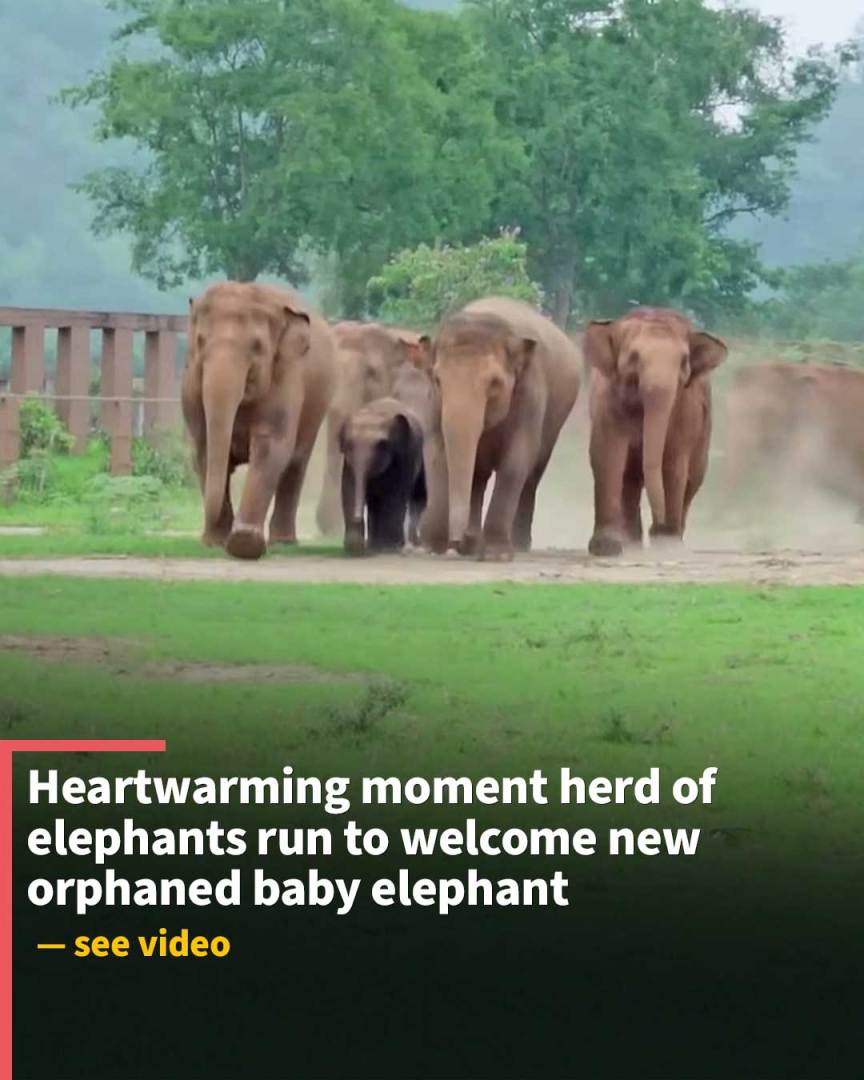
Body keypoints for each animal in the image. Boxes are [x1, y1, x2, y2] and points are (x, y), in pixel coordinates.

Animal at [181, 281, 336, 560]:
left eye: (257, 346)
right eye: (200, 341)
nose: (206, 536)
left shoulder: (286, 379)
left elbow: (270, 447)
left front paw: (243, 543)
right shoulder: (191, 389)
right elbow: (204, 448)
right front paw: (216, 542)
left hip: (317, 406)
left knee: (296, 465)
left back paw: (284, 542)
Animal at [340, 397, 424, 555]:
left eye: (381, 444)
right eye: (348, 444)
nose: (358, 517)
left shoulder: (404, 456)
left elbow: (394, 494)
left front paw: (389, 548)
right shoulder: (348, 463)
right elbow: (348, 488)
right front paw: (354, 548)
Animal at [420, 297, 582, 560]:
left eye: (494, 383)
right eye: (437, 380)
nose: (459, 542)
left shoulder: (530, 393)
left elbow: (517, 459)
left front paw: (497, 554)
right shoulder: (433, 403)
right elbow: (436, 453)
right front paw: (432, 548)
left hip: (556, 419)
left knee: (533, 474)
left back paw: (519, 544)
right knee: (480, 475)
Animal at [584, 307, 727, 557]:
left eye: (684, 361)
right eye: (634, 357)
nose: (658, 526)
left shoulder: (685, 406)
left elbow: (673, 462)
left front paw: (666, 544)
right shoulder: (608, 400)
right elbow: (607, 455)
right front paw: (606, 547)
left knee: (693, 479)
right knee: (629, 479)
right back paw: (631, 542)